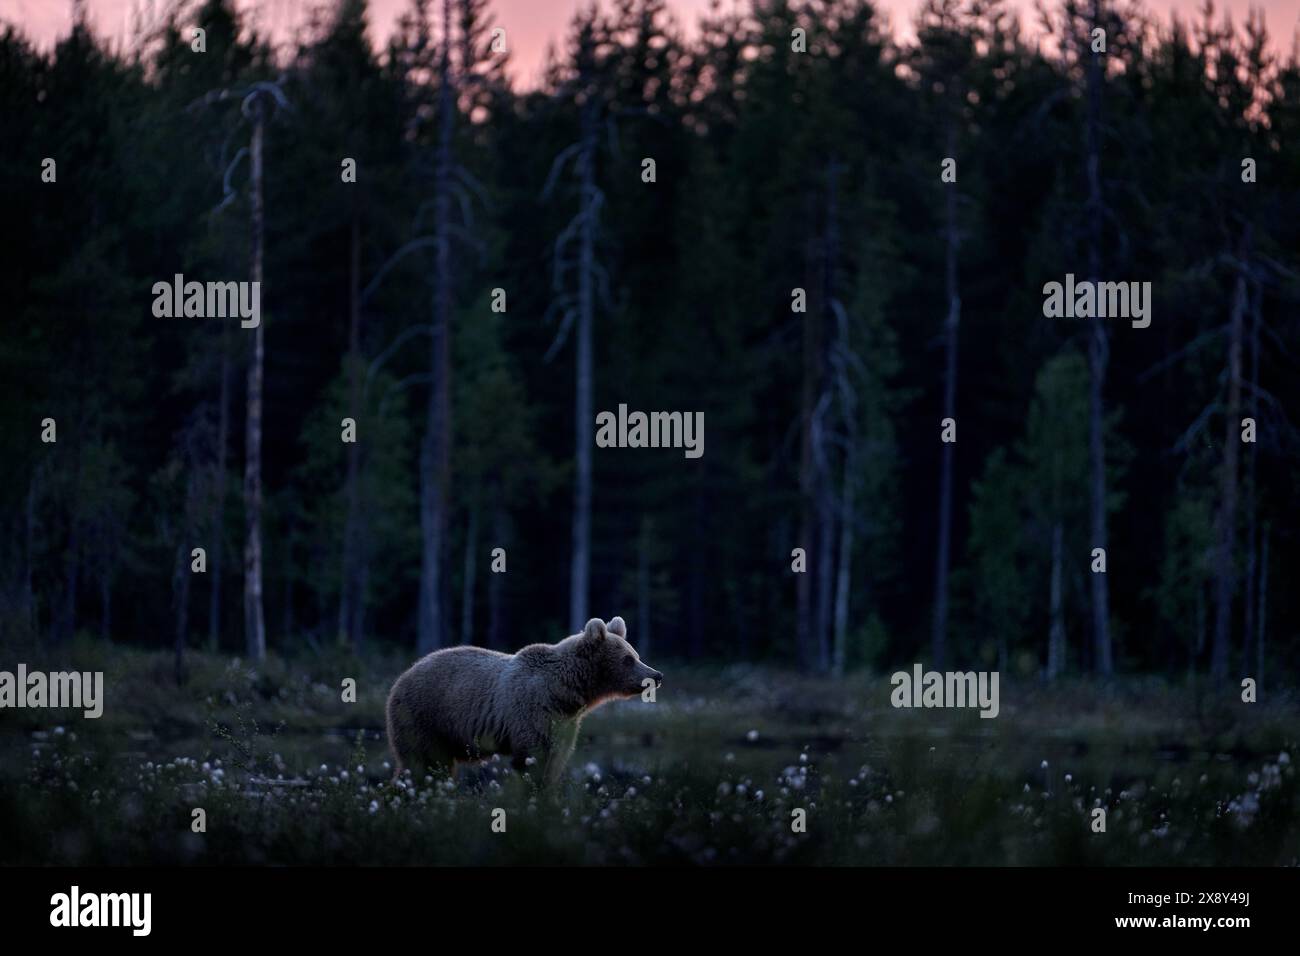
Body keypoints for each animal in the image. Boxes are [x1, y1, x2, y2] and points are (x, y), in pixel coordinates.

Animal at [385, 616, 662, 789]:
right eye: (628, 659)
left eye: (636, 654)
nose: (656, 675)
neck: (565, 691)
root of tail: (402, 676)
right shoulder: (532, 711)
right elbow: (531, 760)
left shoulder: (564, 723)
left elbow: (555, 762)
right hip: (424, 717)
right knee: (423, 764)